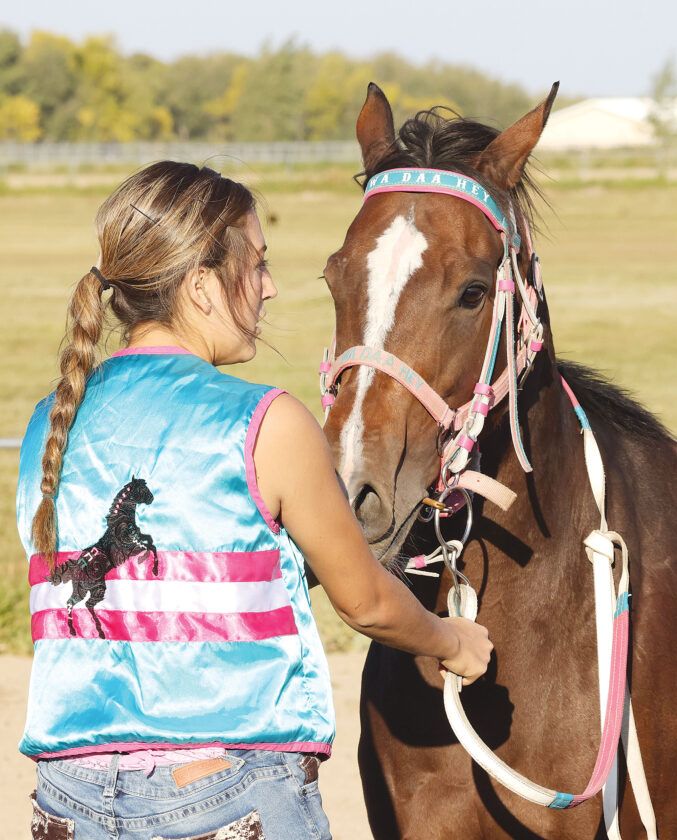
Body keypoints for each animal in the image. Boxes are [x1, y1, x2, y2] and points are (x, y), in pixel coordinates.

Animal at [48, 476, 157, 638]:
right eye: (142, 489)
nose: (151, 499)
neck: (121, 520)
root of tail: (75, 569)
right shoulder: (131, 548)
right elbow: (150, 547)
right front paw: (152, 568)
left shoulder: (138, 538)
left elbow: (150, 542)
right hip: (97, 587)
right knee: (87, 604)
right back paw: (99, 632)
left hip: (81, 590)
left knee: (71, 603)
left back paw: (74, 630)